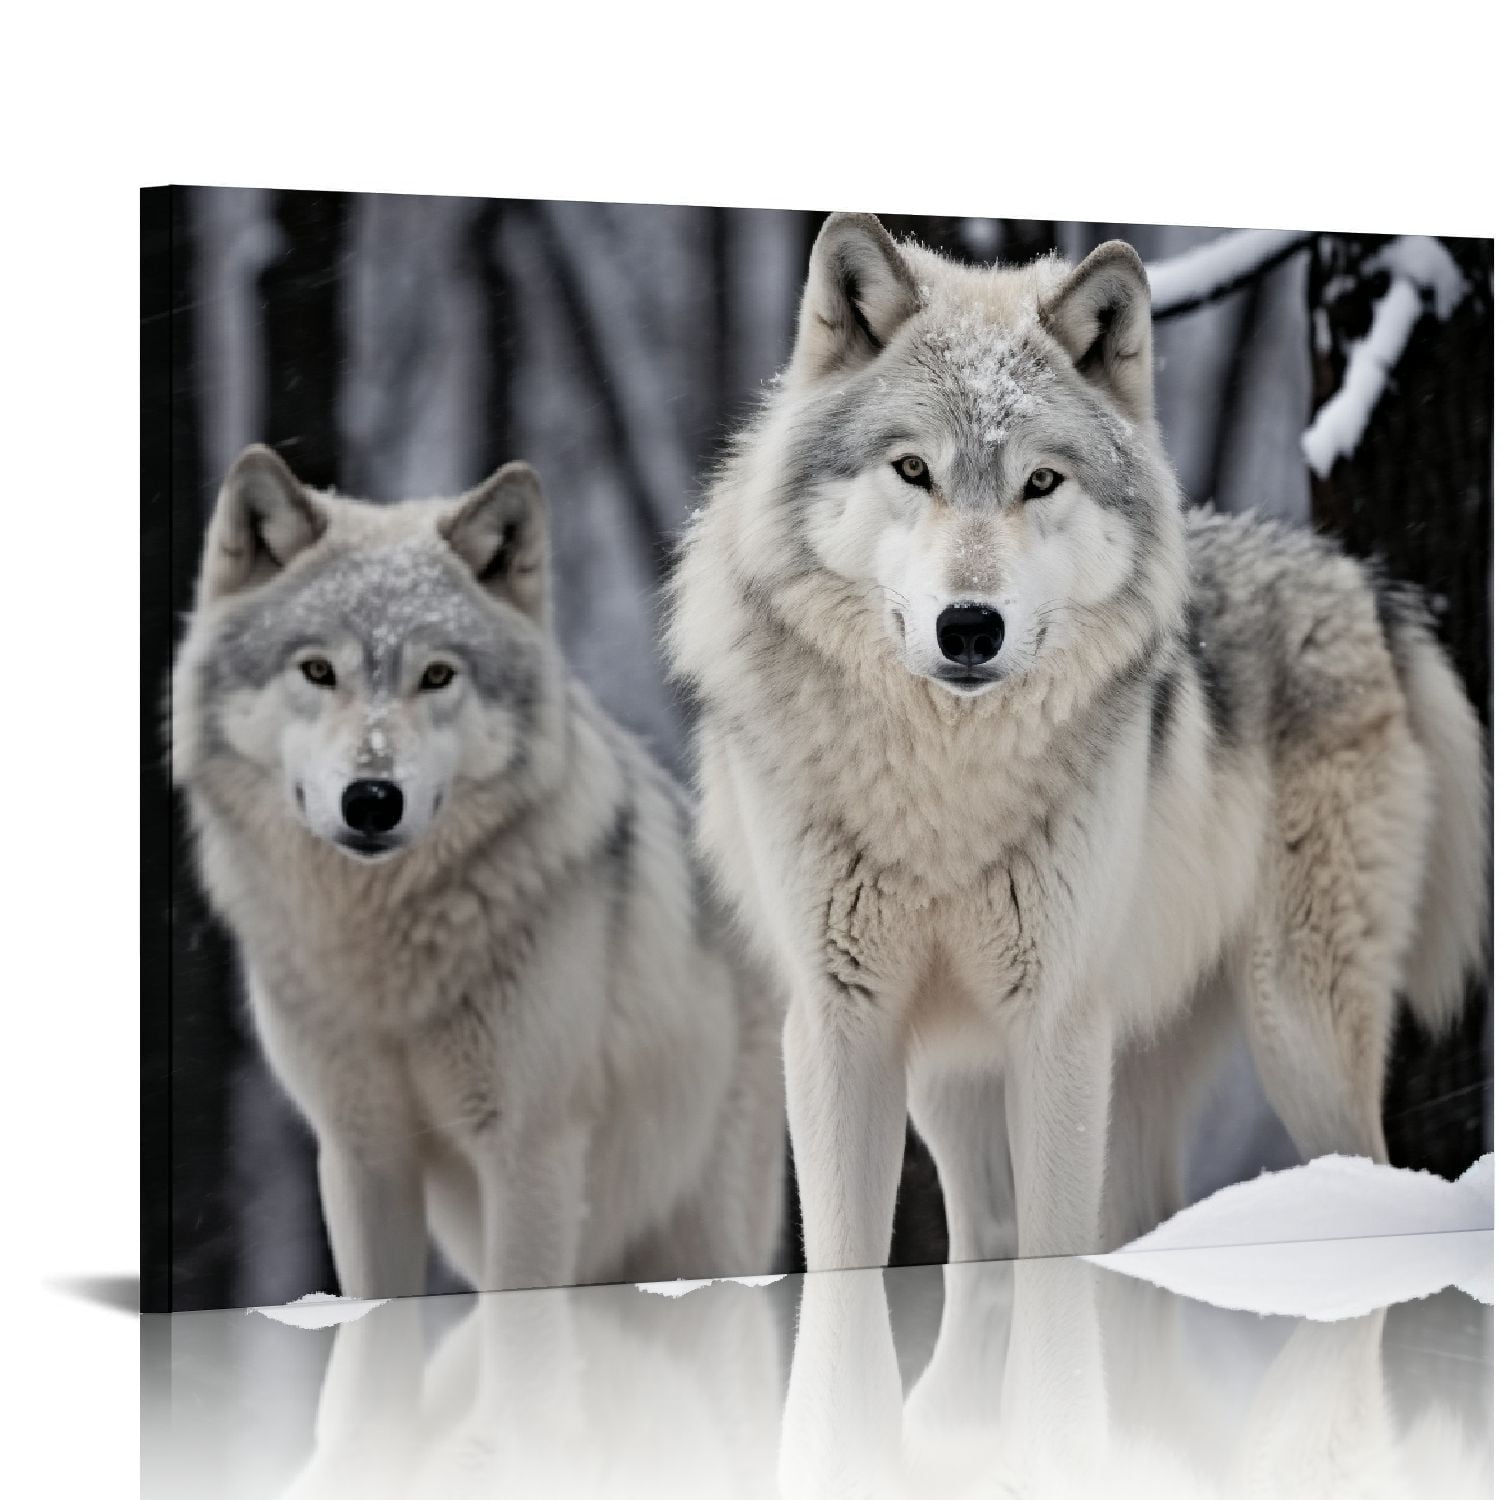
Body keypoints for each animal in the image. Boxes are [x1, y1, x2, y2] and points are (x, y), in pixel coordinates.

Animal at [171, 445, 786, 1299]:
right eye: (317, 671)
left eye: (437, 675)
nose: (372, 799)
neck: (381, 959)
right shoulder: (361, 1160)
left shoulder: (532, 1155)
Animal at [668, 213, 1488, 1267]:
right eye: (913, 469)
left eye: (1041, 482)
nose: (969, 628)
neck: (945, 789)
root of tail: (1360, 581)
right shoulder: (841, 1027)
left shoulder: (1055, 1026)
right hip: (1002, 1081)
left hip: (1291, 1031)